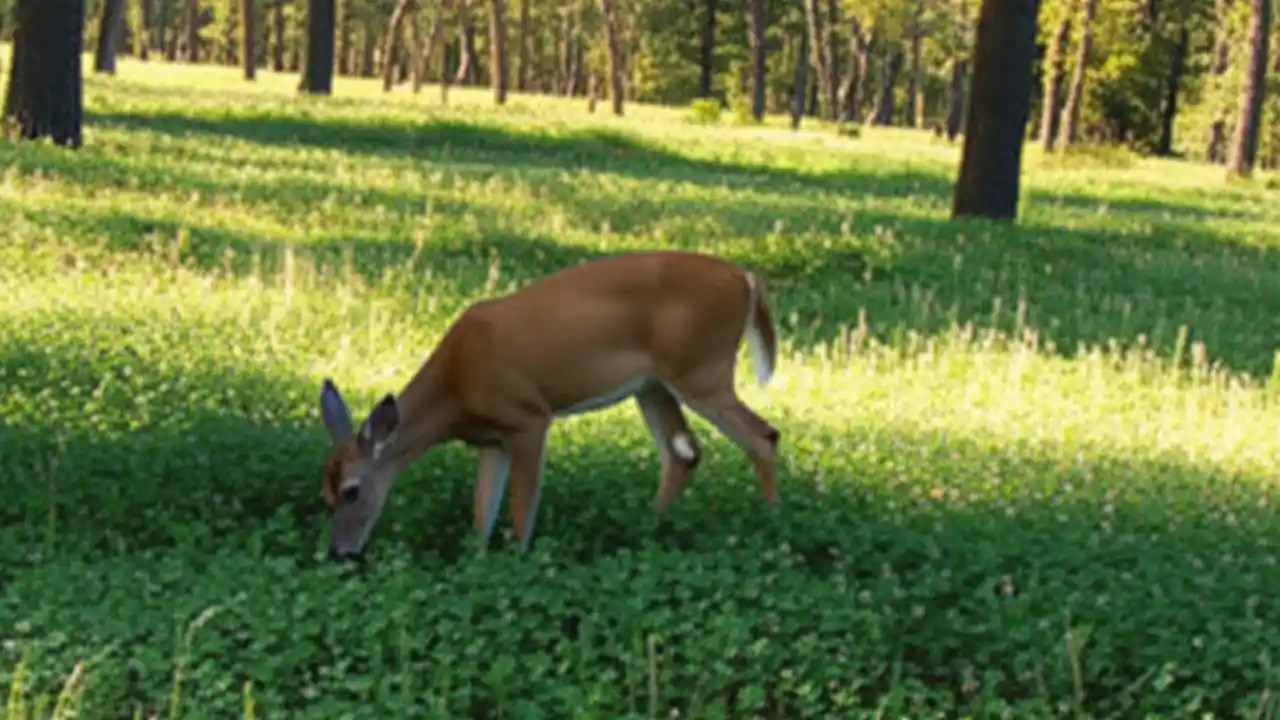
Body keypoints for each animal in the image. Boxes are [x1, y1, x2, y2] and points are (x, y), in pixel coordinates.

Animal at [316, 250, 782, 560]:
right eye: (325, 493)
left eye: (352, 490)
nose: (340, 553)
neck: (456, 387)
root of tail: (748, 279)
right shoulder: (491, 440)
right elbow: (482, 513)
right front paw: (476, 562)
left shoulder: (528, 418)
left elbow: (522, 511)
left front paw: (519, 561)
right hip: (653, 385)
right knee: (682, 452)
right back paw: (649, 528)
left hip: (701, 368)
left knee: (764, 436)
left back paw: (771, 525)